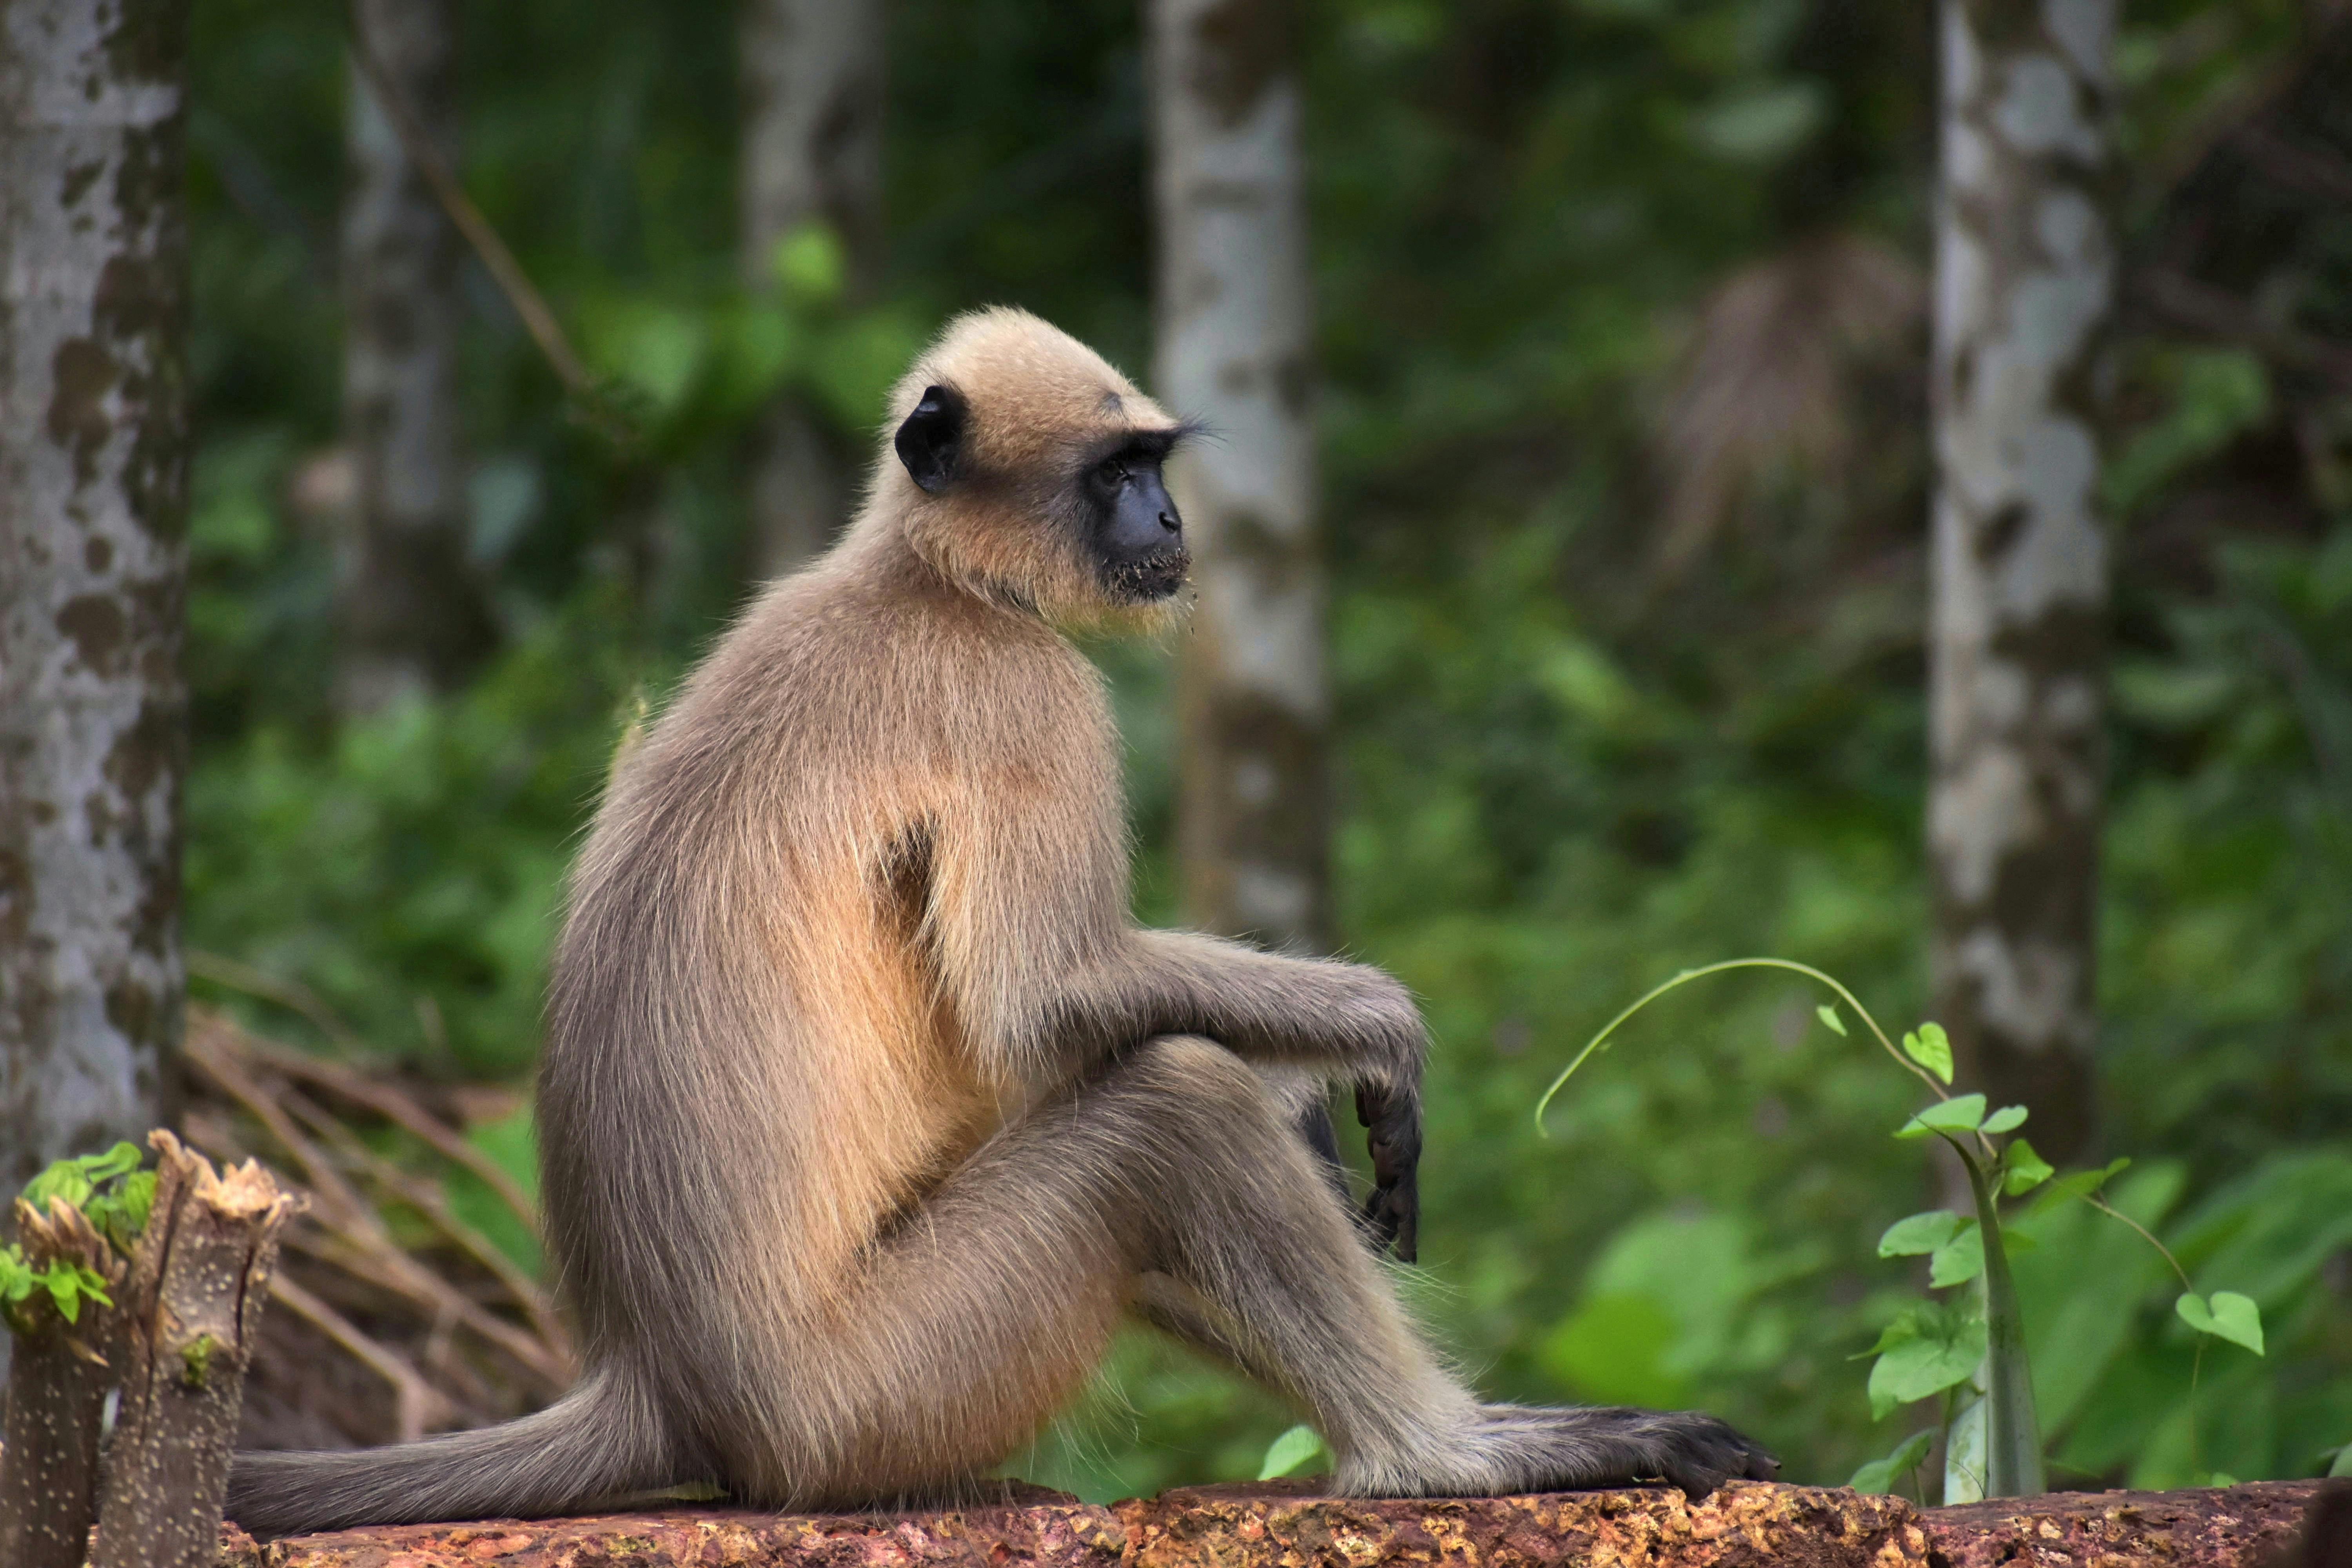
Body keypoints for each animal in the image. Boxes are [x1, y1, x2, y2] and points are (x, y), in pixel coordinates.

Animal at [226, 308, 1775, 1538]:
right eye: (1115, 474)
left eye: (1154, 468)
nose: (1169, 524)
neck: (925, 577)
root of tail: (662, 1387)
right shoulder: (1025, 699)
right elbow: (1047, 997)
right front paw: (1370, 1038)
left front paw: (1321, 1106)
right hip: (880, 1396)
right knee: (1170, 1101)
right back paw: (1440, 1458)